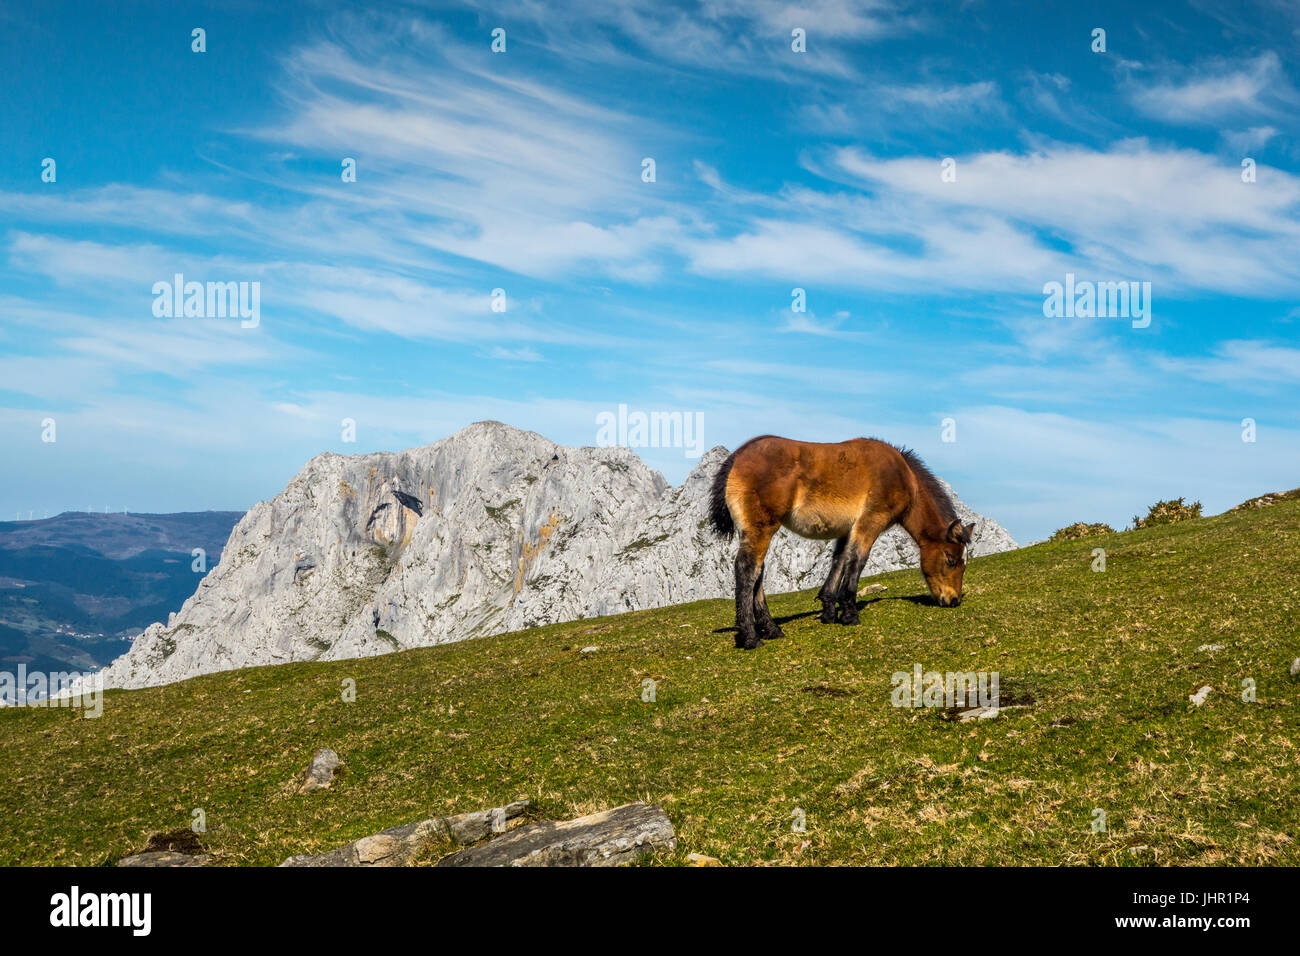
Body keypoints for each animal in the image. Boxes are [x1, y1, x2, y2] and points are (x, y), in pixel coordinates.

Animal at [708, 435, 975, 649]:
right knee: (748, 570)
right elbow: (857, 561)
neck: (903, 475)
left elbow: (839, 561)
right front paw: (849, 614)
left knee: (758, 573)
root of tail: (738, 456)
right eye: (951, 560)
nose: (953, 600)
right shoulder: (870, 522)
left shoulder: (847, 529)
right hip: (761, 529)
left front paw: (828, 610)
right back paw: (751, 637)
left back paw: (772, 629)